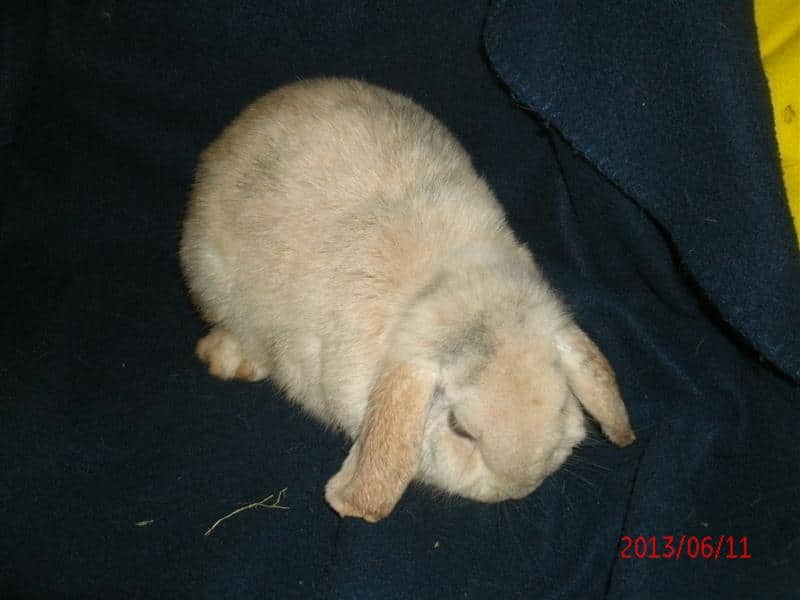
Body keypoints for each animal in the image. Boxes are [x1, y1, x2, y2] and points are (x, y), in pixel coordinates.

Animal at [180, 77, 635, 522]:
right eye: (459, 427)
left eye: (561, 408)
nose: (522, 485)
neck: (446, 288)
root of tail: (243, 123)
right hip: (211, 280)